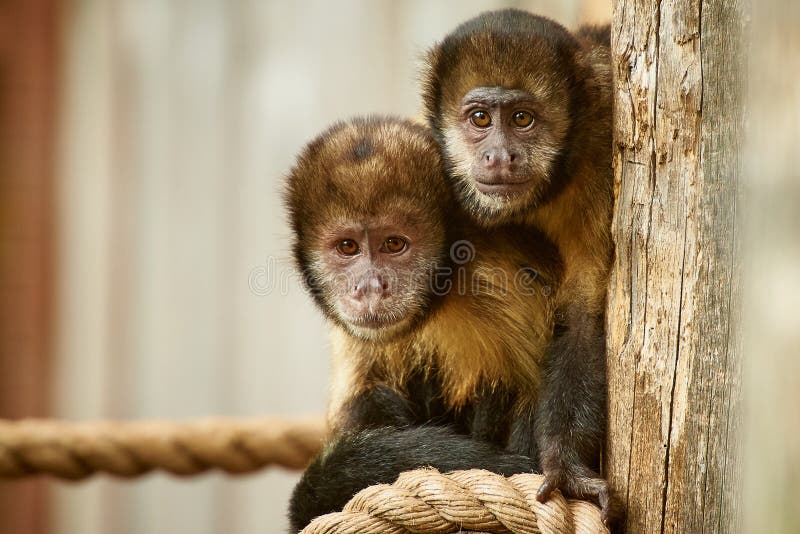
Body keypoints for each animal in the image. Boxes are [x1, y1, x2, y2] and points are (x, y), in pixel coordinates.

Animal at [421, 8, 614, 518]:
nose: (498, 155)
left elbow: (582, 319)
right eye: (480, 118)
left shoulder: (600, 166)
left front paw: (563, 463)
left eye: (522, 119)